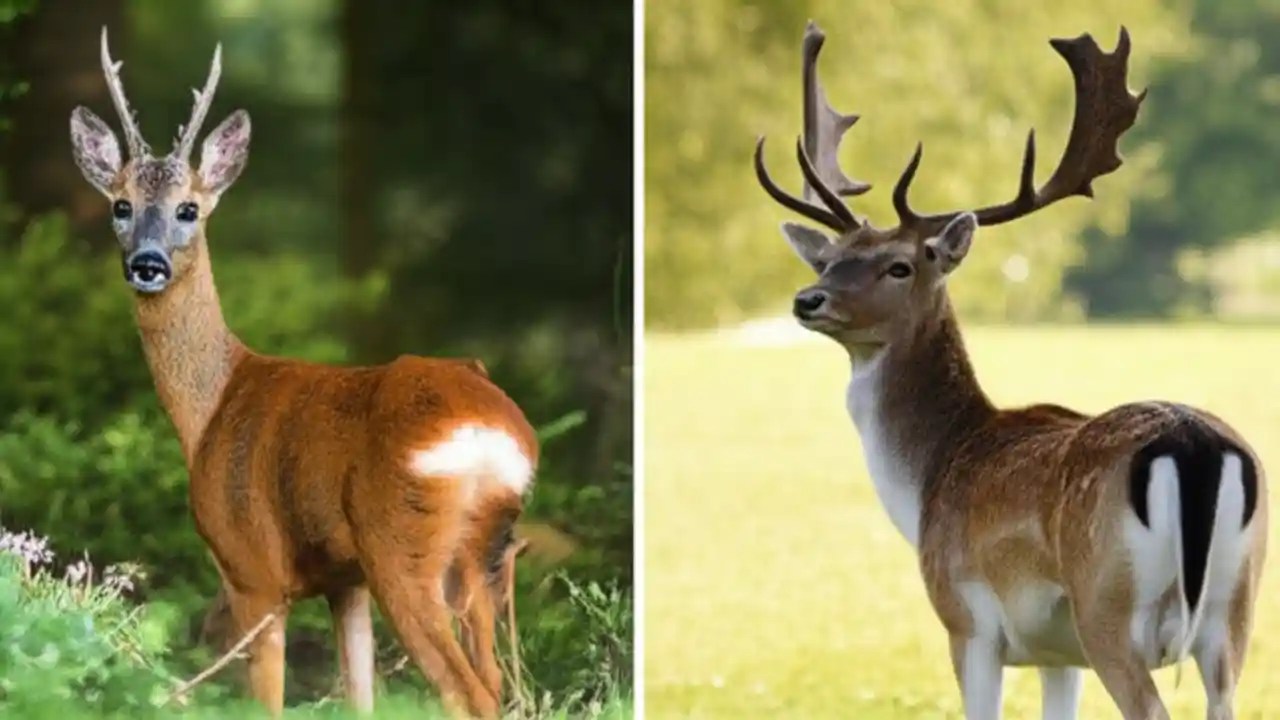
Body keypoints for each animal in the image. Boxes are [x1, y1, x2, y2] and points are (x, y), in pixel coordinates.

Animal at [68, 28, 536, 718]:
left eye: (189, 209)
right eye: (122, 205)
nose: (147, 264)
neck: (211, 406)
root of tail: (490, 433)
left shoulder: (253, 571)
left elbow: (268, 699)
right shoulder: (345, 582)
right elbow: (359, 695)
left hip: (404, 548)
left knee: (469, 693)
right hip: (485, 562)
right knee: (502, 683)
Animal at [755, 21, 1267, 720]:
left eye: (900, 265)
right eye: (830, 259)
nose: (809, 300)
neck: (928, 481)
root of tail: (1193, 444)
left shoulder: (967, 620)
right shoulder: (1058, 654)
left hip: (1108, 610)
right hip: (1234, 610)